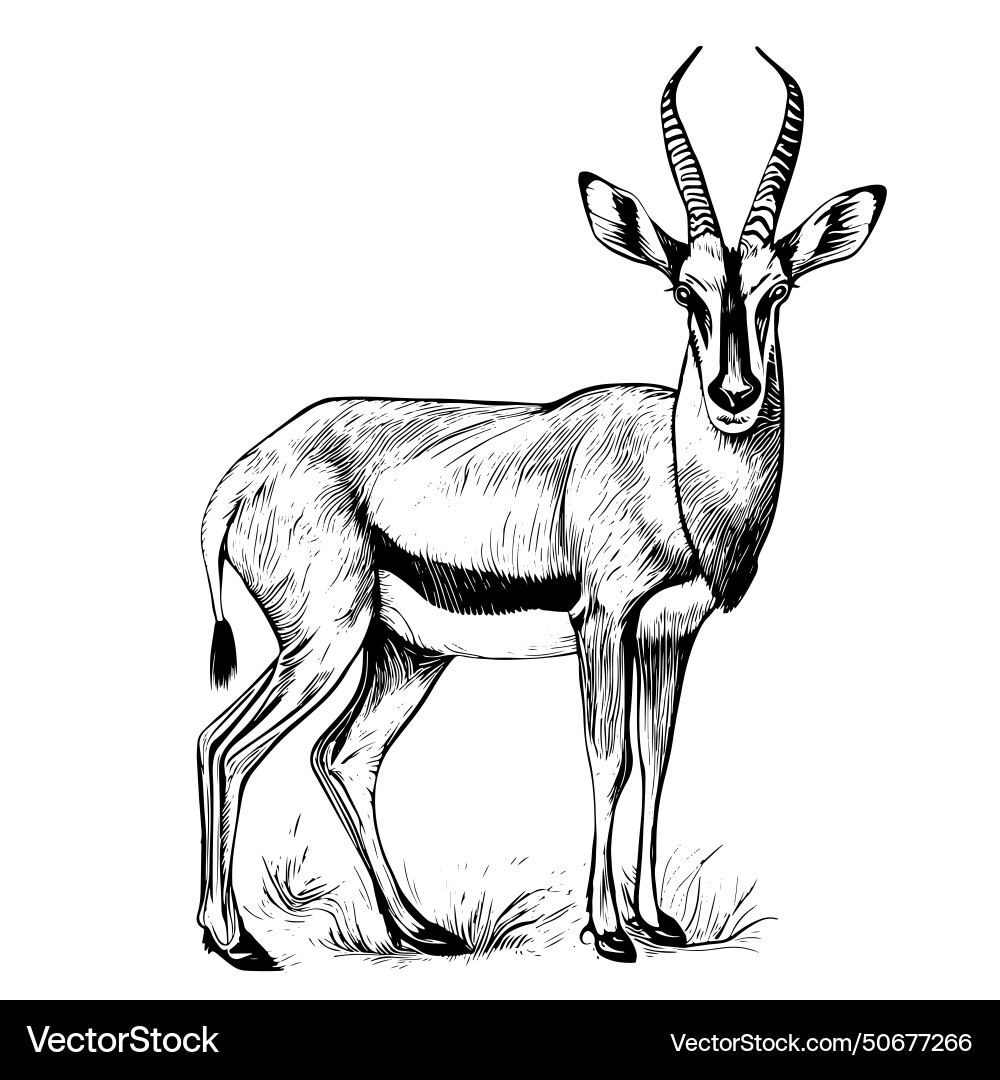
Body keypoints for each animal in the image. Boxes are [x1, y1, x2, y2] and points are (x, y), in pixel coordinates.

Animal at [197, 47, 885, 967]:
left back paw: (419, 929)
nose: (734, 395)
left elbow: (657, 759)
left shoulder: (670, 635)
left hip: (405, 653)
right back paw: (237, 942)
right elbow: (608, 760)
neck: (674, 478)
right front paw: (609, 932)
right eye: (685, 292)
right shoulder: (603, 621)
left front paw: (656, 921)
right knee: (225, 746)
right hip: (323, 641)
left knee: (344, 757)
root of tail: (245, 473)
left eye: (779, 290)